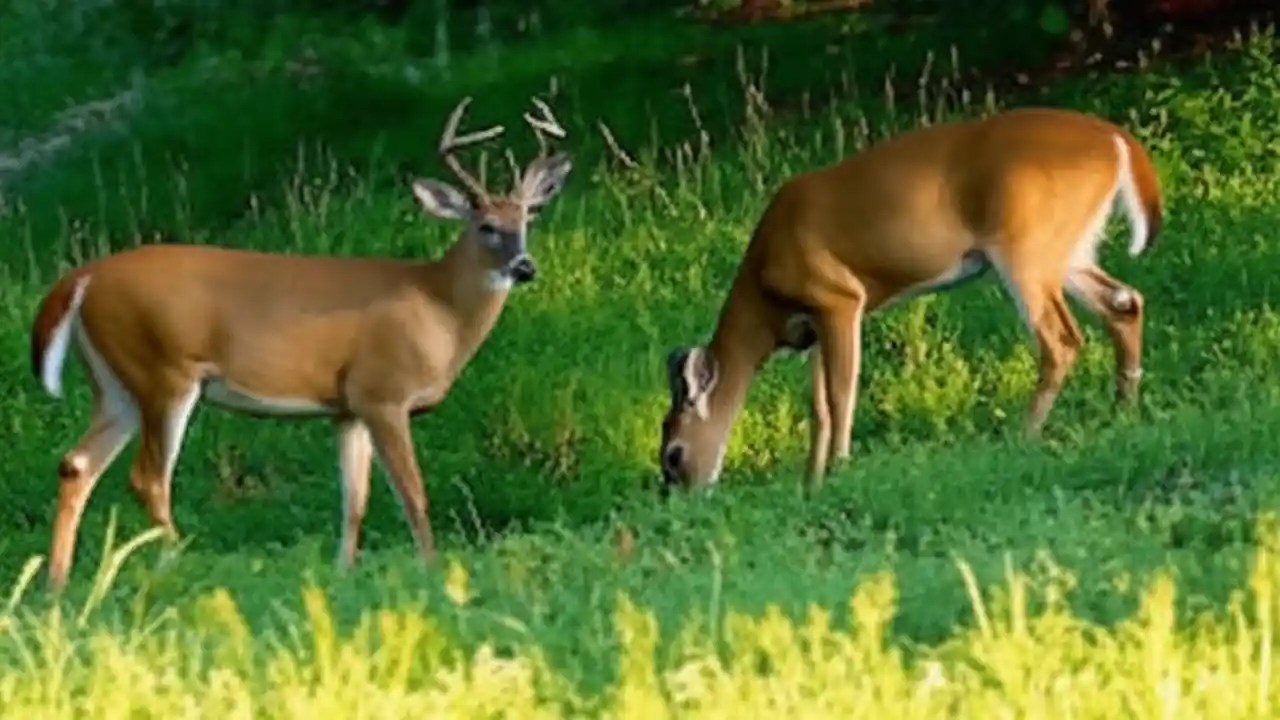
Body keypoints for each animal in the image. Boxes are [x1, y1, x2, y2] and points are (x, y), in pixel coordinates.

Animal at [29, 95, 573, 591]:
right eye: (487, 227)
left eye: (527, 221)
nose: (525, 266)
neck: (437, 308)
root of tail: (83, 278)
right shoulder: (383, 393)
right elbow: (413, 495)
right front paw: (433, 571)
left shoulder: (347, 406)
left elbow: (354, 501)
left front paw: (342, 574)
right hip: (165, 371)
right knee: (148, 478)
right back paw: (176, 566)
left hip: (117, 383)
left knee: (76, 464)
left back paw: (57, 584)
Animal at [658, 107, 1163, 491]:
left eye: (673, 455)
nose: (680, 497)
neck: (765, 301)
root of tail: (1117, 141)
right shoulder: (814, 322)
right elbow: (818, 407)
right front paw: (811, 480)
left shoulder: (839, 296)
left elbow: (841, 394)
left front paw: (838, 470)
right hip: (1068, 250)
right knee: (1126, 302)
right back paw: (1123, 412)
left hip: (1027, 246)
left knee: (1062, 338)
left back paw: (1024, 436)